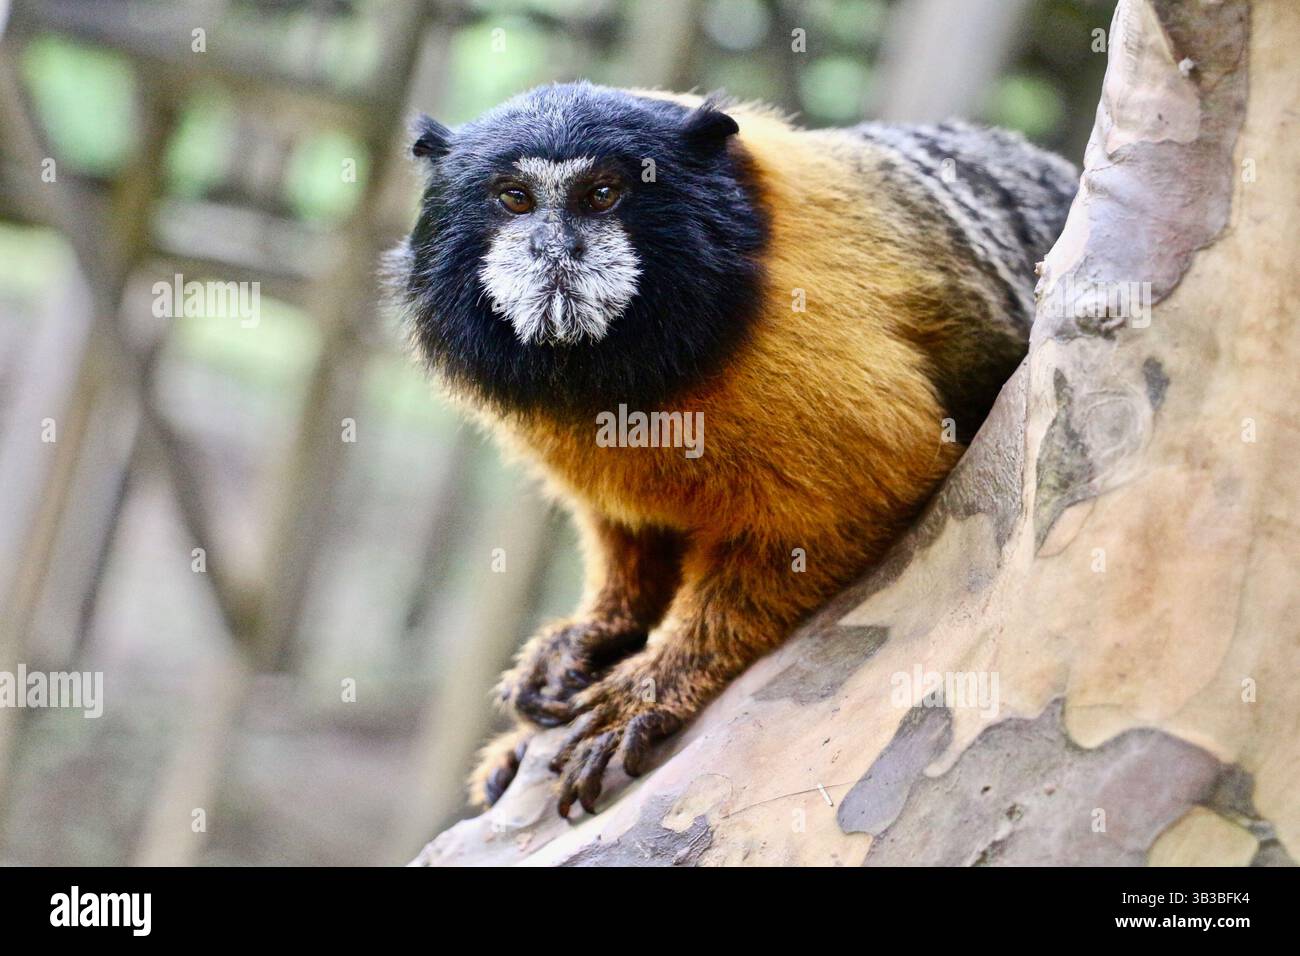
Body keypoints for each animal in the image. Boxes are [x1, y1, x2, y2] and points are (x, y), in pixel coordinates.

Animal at [388, 81, 1077, 818]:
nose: (554, 249)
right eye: (515, 199)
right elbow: (629, 527)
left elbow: (843, 504)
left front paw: (657, 680)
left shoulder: (807, 338)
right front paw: (597, 630)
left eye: (602, 195)